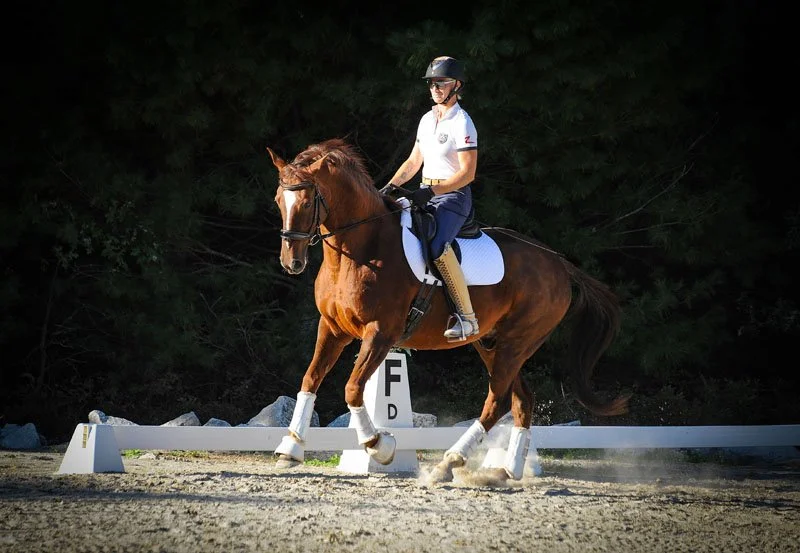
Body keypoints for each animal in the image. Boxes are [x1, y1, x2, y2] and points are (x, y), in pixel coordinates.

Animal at [266, 137, 628, 482]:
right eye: (278, 200)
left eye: (307, 201)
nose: (291, 262)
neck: (360, 249)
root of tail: (558, 263)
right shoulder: (332, 327)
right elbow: (310, 379)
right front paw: (290, 447)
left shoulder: (381, 332)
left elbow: (353, 388)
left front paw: (380, 446)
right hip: (492, 343)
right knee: (521, 399)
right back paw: (506, 471)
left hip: (517, 342)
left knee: (496, 401)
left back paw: (450, 462)